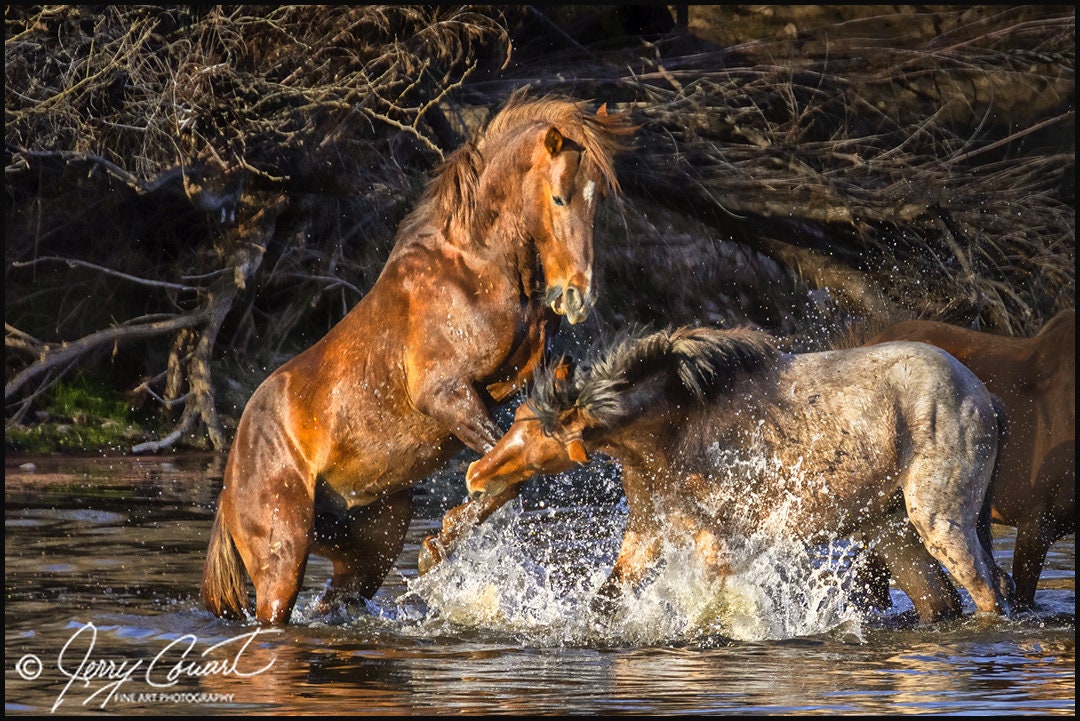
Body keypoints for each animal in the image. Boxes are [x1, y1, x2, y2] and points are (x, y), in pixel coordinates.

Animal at [201, 91, 634, 624]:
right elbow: (500, 475)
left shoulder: (519, 378)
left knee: (337, 595)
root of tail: (230, 480)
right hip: (282, 561)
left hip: (375, 539)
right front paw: (438, 545)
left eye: (597, 203)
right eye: (558, 197)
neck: (477, 268)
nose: (577, 296)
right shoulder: (445, 395)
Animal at [464, 324, 1014, 624]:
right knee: (942, 602)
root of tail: (983, 395)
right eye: (518, 418)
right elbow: (605, 600)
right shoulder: (645, 535)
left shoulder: (718, 544)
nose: (474, 474)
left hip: (940, 521)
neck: (672, 428)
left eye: (544, 437)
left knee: (988, 593)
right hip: (889, 530)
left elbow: (714, 610)